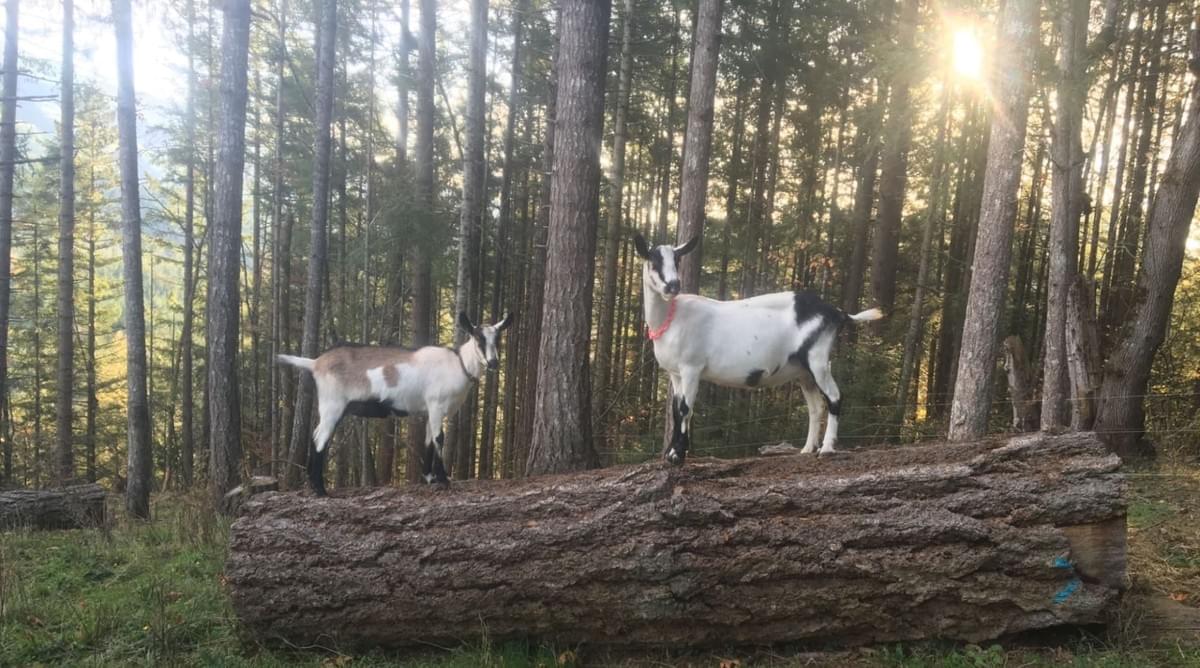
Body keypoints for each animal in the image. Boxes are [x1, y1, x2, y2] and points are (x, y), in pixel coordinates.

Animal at [277, 312, 512, 495]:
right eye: (478, 338)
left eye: (498, 338)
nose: (493, 362)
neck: (459, 364)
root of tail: (316, 363)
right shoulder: (437, 404)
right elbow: (439, 438)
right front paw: (444, 480)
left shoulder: (429, 409)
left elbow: (428, 440)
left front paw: (429, 478)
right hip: (332, 403)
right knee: (321, 439)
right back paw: (320, 490)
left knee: (316, 434)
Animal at [633, 233, 882, 465]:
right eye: (653, 261)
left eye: (676, 260)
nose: (673, 285)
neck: (672, 318)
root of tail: (837, 312)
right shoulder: (675, 373)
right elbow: (676, 410)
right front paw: (670, 453)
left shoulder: (691, 368)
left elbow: (686, 409)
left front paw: (678, 456)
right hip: (803, 371)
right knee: (816, 406)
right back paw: (807, 449)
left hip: (818, 358)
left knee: (834, 397)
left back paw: (828, 448)